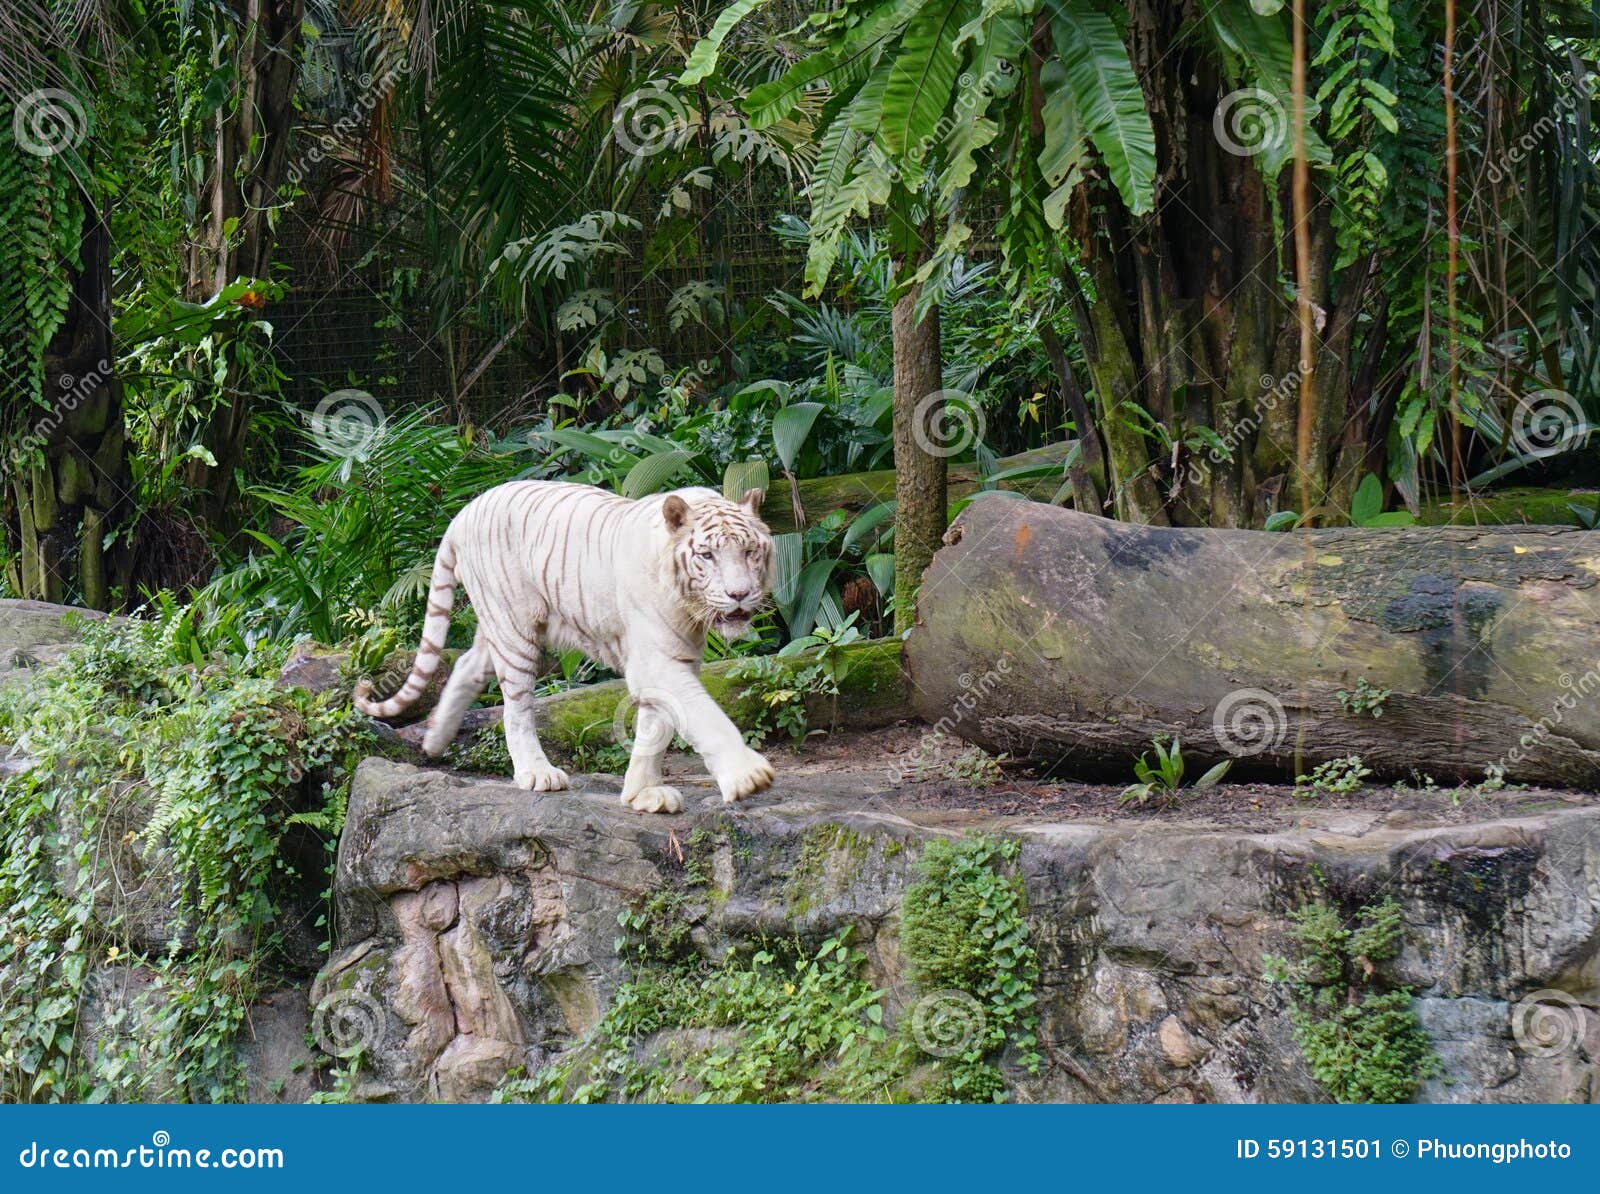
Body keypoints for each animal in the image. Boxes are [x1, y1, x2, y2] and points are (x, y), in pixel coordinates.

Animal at [353, 480, 777, 814]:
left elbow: (657, 728)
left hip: (498, 625)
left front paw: (642, 794)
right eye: (707, 555)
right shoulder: (658, 661)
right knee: (516, 709)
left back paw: (434, 739)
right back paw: (536, 773)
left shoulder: (675, 659)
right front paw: (748, 776)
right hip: (515, 628)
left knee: (466, 665)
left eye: (750, 552)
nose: (739, 594)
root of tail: (464, 513)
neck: (690, 608)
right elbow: (704, 715)